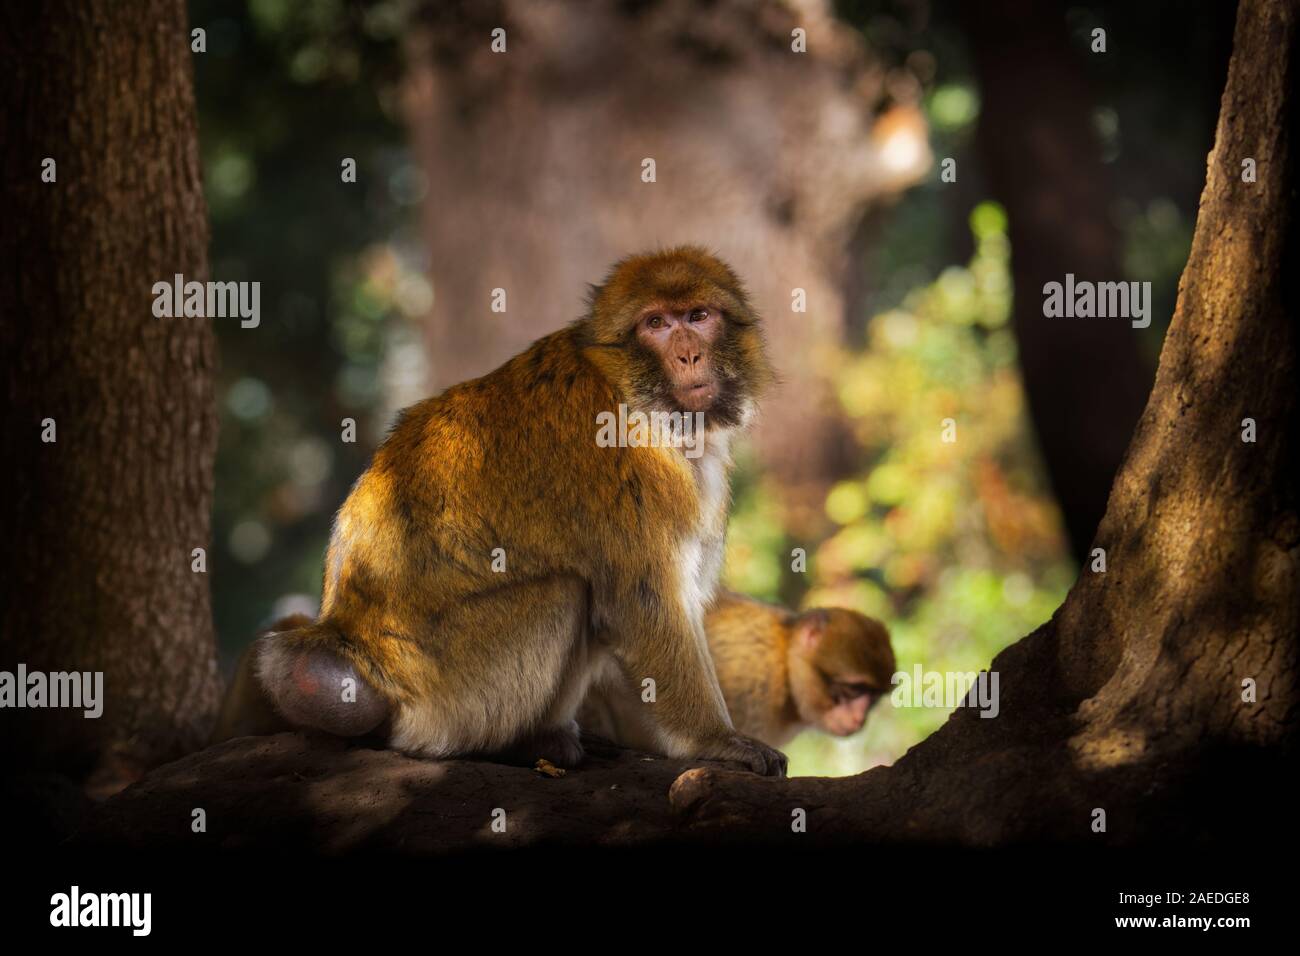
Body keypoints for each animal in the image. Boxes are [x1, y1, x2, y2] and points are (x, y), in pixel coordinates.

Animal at [214, 247, 787, 776]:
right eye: (656, 325)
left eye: (698, 316)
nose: (688, 354)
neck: (632, 390)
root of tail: (356, 644)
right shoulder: (634, 468)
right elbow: (643, 605)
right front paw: (716, 742)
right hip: (454, 692)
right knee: (567, 592)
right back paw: (515, 744)